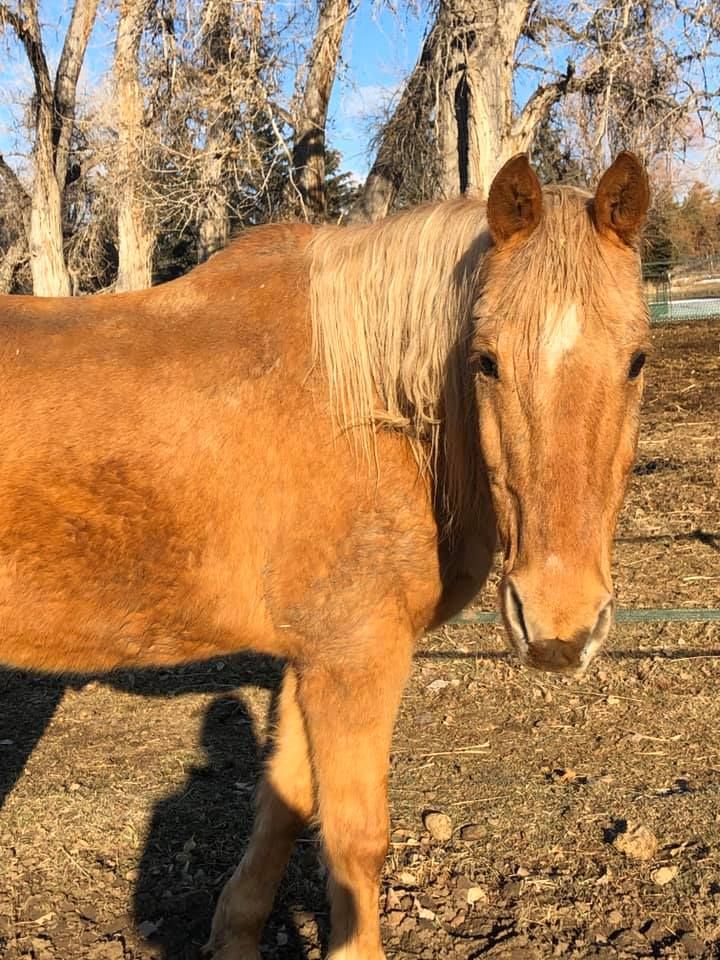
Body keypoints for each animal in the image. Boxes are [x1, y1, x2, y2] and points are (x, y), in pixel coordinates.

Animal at [0, 152, 650, 960]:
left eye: (637, 360)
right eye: (487, 361)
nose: (559, 628)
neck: (368, 409)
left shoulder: (308, 657)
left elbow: (283, 805)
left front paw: (235, 932)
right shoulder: (354, 657)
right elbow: (354, 839)